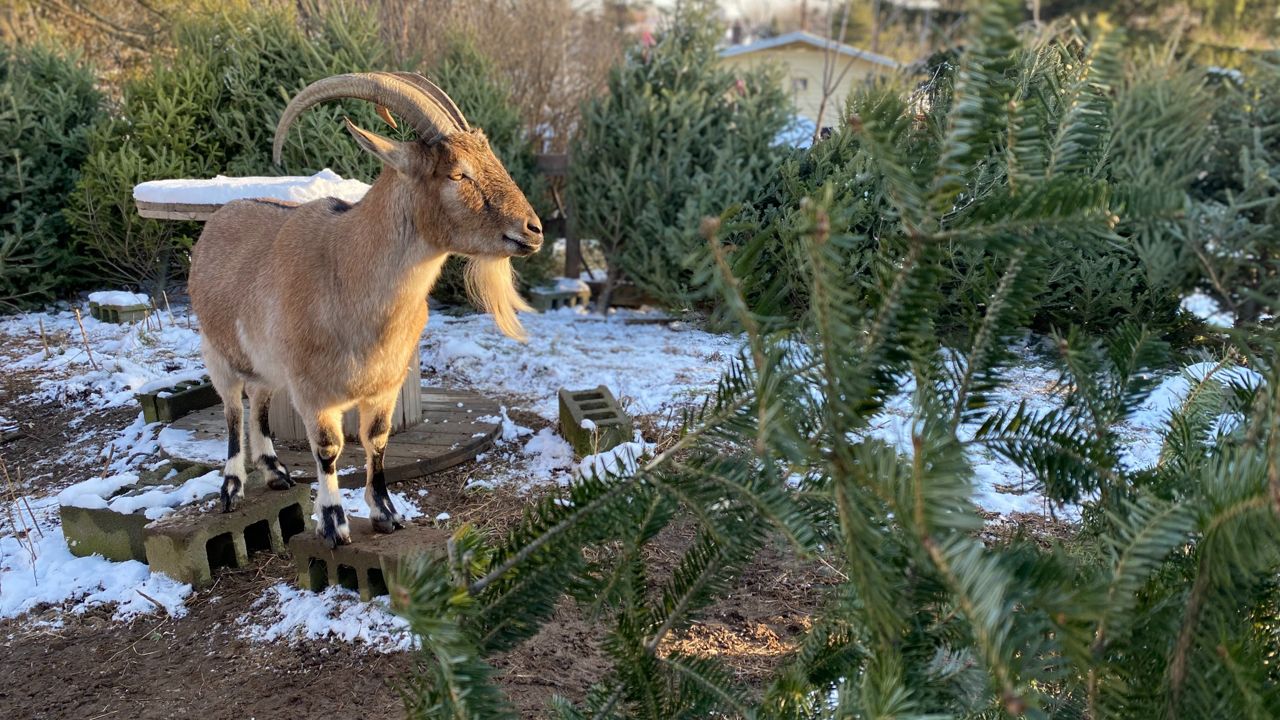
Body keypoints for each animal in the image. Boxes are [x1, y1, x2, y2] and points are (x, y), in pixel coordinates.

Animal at [188, 73, 542, 548]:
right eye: (457, 173)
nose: (533, 230)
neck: (347, 272)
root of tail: (218, 219)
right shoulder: (313, 391)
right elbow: (328, 449)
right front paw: (333, 523)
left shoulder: (384, 386)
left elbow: (376, 441)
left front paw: (386, 514)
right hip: (216, 350)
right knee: (231, 410)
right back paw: (232, 487)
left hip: (267, 365)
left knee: (259, 400)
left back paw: (276, 471)